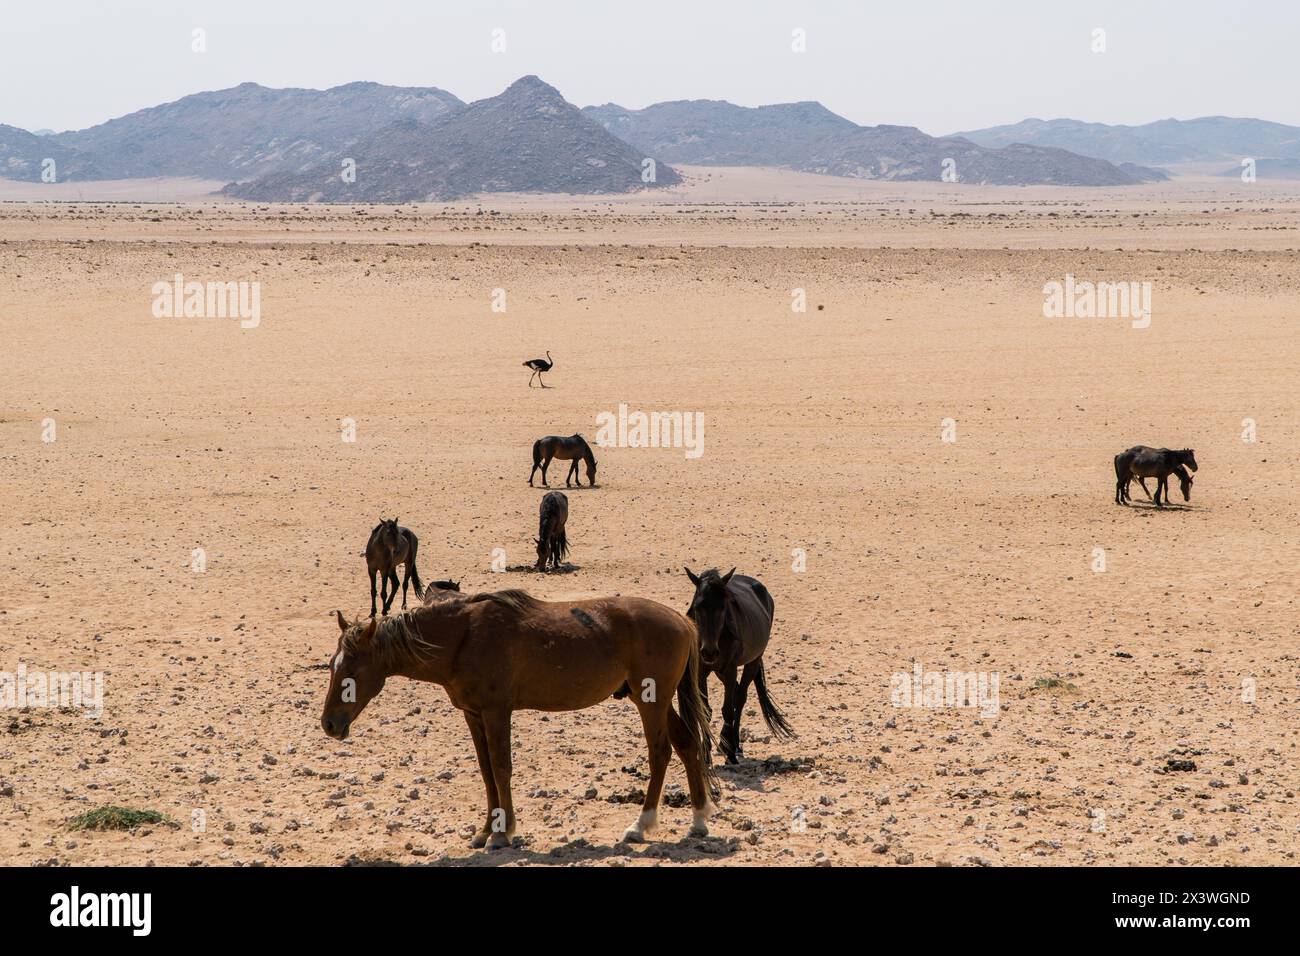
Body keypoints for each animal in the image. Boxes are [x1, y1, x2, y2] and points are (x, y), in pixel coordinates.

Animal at [320, 591, 716, 848]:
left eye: (353, 669)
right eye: (332, 665)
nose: (329, 723)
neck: (462, 637)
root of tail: (683, 621)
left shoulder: (497, 711)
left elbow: (501, 768)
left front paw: (501, 833)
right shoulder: (474, 714)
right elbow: (486, 772)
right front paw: (485, 830)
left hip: (652, 702)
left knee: (661, 753)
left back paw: (640, 825)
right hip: (652, 699)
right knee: (687, 746)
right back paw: (698, 820)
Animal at [684, 567, 794, 764]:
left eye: (723, 607)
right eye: (697, 607)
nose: (709, 652)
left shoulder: (730, 669)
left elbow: (728, 709)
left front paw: (729, 755)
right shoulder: (702, 672)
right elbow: (705, 710)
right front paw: (705, 754)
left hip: (752, 662)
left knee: (740, 698)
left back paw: (733, 744)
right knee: (736, 693)